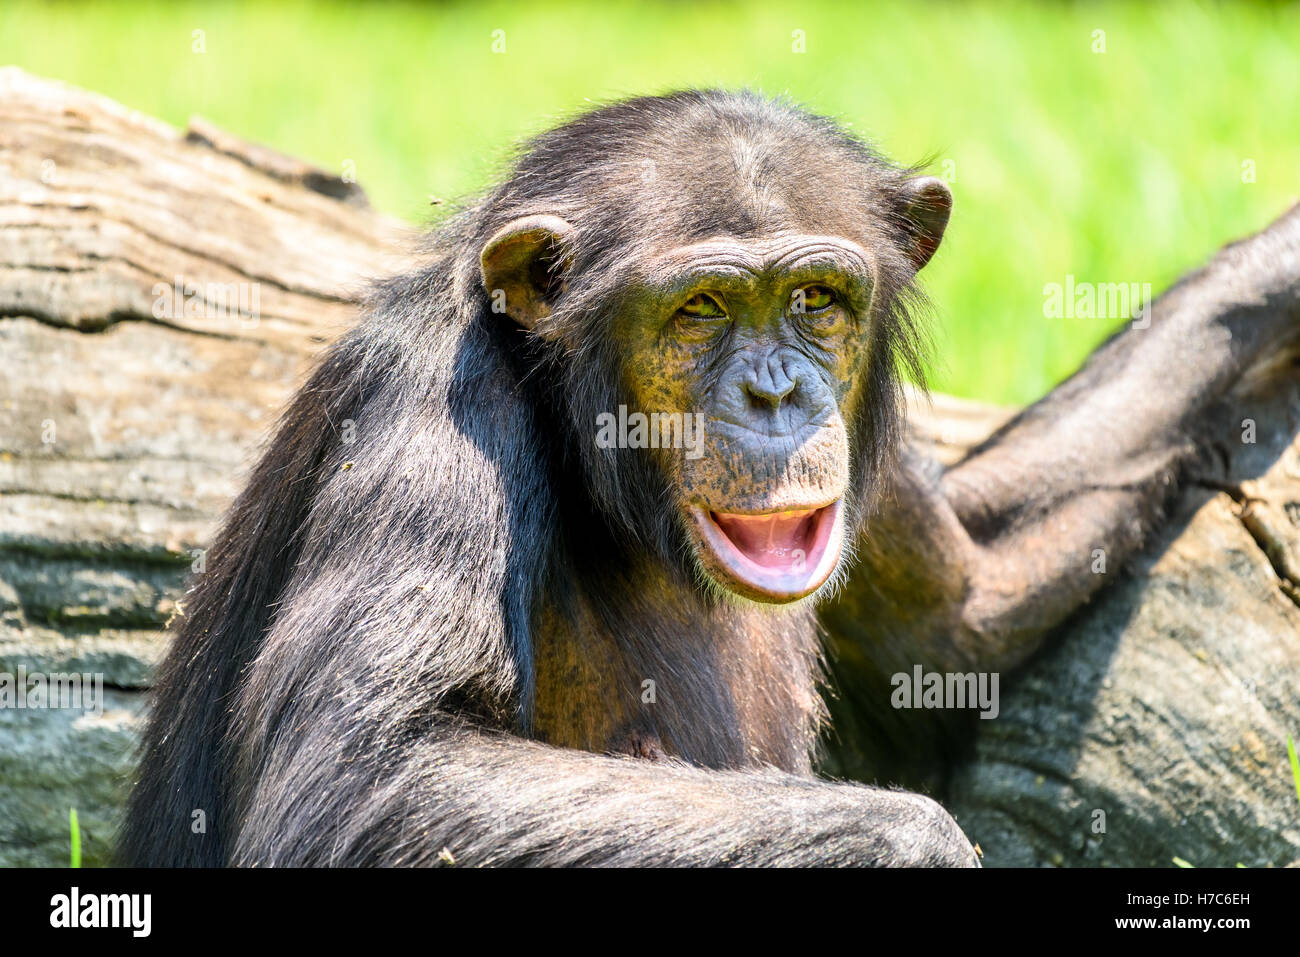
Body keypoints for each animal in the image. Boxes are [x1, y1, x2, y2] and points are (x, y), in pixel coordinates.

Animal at [119, 89, 1300, 867]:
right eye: (700, 311)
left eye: (816, 299)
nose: (775, 391)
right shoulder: (433, 417)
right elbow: (371, 774)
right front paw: (913, 841)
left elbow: (970, 594)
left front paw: (1273, 269)